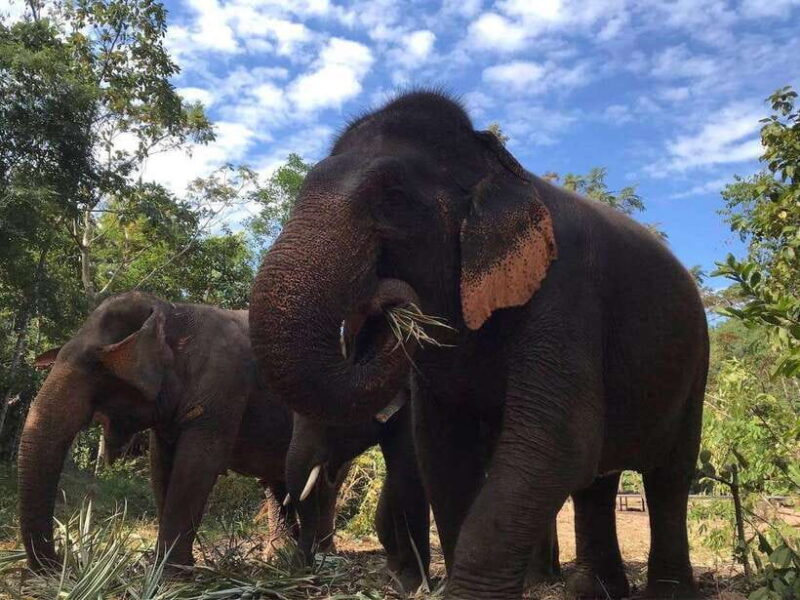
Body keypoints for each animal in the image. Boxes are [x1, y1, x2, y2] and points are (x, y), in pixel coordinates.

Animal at [18, 291, 429, 591]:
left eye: (94, 367)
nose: (60, 565)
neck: (172, 312)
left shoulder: (224, 387)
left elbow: (197, 465)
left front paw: (170, 578)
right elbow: (161, 467)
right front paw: (169, 569)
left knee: (325, 481)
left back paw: (322, 557)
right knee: (279, 481)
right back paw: (280, 557)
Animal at [249, 91, 708, 600]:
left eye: (392, 199)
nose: (386, 301)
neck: (501, 167)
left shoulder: (566, 292)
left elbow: (555, 442)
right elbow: (444, 449)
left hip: (695, 366)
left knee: (669, 475)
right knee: (599, 479)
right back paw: (591, 589)